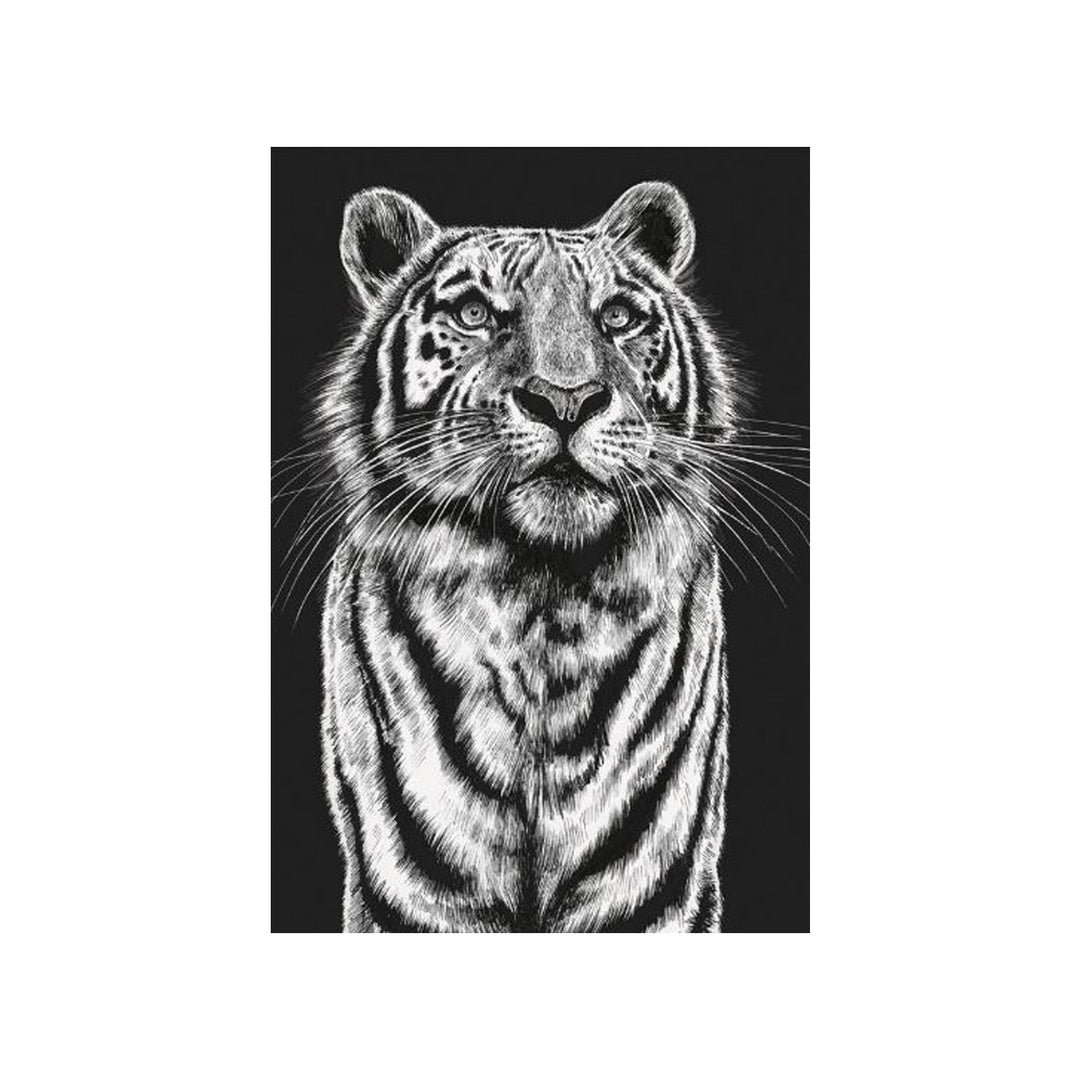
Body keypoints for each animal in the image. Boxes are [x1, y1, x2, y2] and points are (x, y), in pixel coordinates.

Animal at [313, 181, 758, 932]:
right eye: (473, 314)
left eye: (617, 317)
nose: (565, 400)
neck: (541, 600)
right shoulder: (417, 894)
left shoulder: (652, 888)